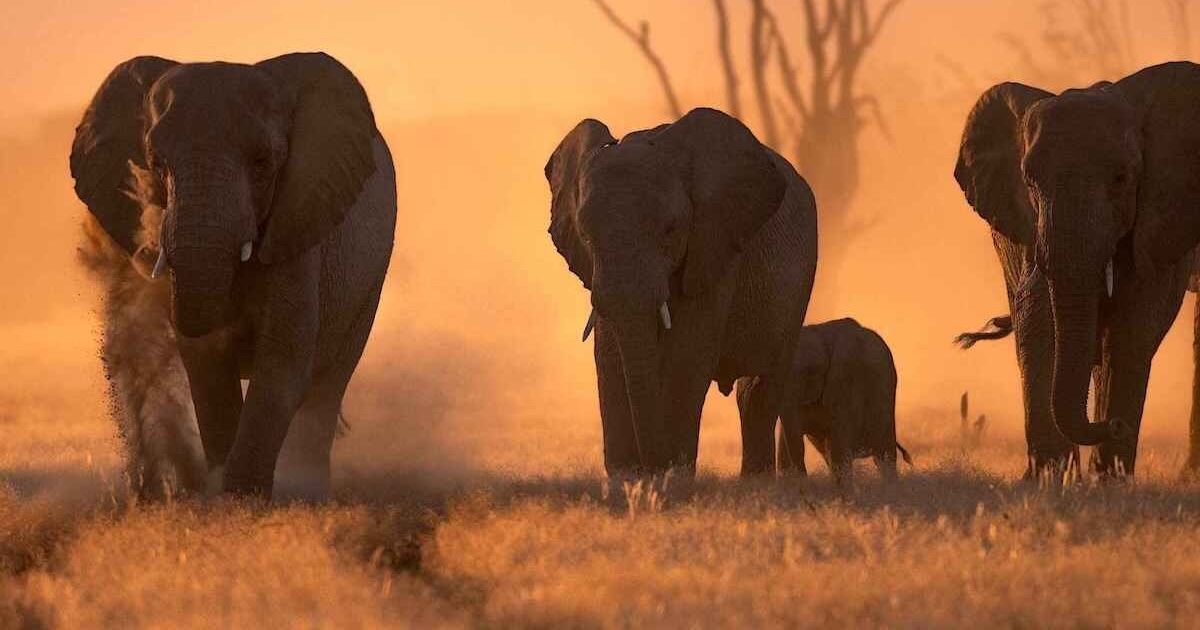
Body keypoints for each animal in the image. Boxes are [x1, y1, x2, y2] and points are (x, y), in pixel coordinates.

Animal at [70, 53, 396, 499]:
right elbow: (206, 365)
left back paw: (308, 493)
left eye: (263, 163)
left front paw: (244, 504)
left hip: (369, 283)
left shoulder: (300, 221)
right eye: (155, 165)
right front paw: (225, 501)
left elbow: (281, 364)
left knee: (326, 387)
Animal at [546, 108, 818, 477]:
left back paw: (757, 483)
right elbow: (610, 354)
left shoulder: (715, 243)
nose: (649, 468)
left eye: (671, 229)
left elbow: (688, 354)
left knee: (761, 391)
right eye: (586, 235)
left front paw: (671, 475)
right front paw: (626, 477)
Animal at [954, 62, 1200, 478]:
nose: (1115, 425)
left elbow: (1133, 326)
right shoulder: (1030, 225)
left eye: (1121, 178)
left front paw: (1110, 481)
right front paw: (1050, 479)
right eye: (1030, 181)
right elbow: (1038, 317)